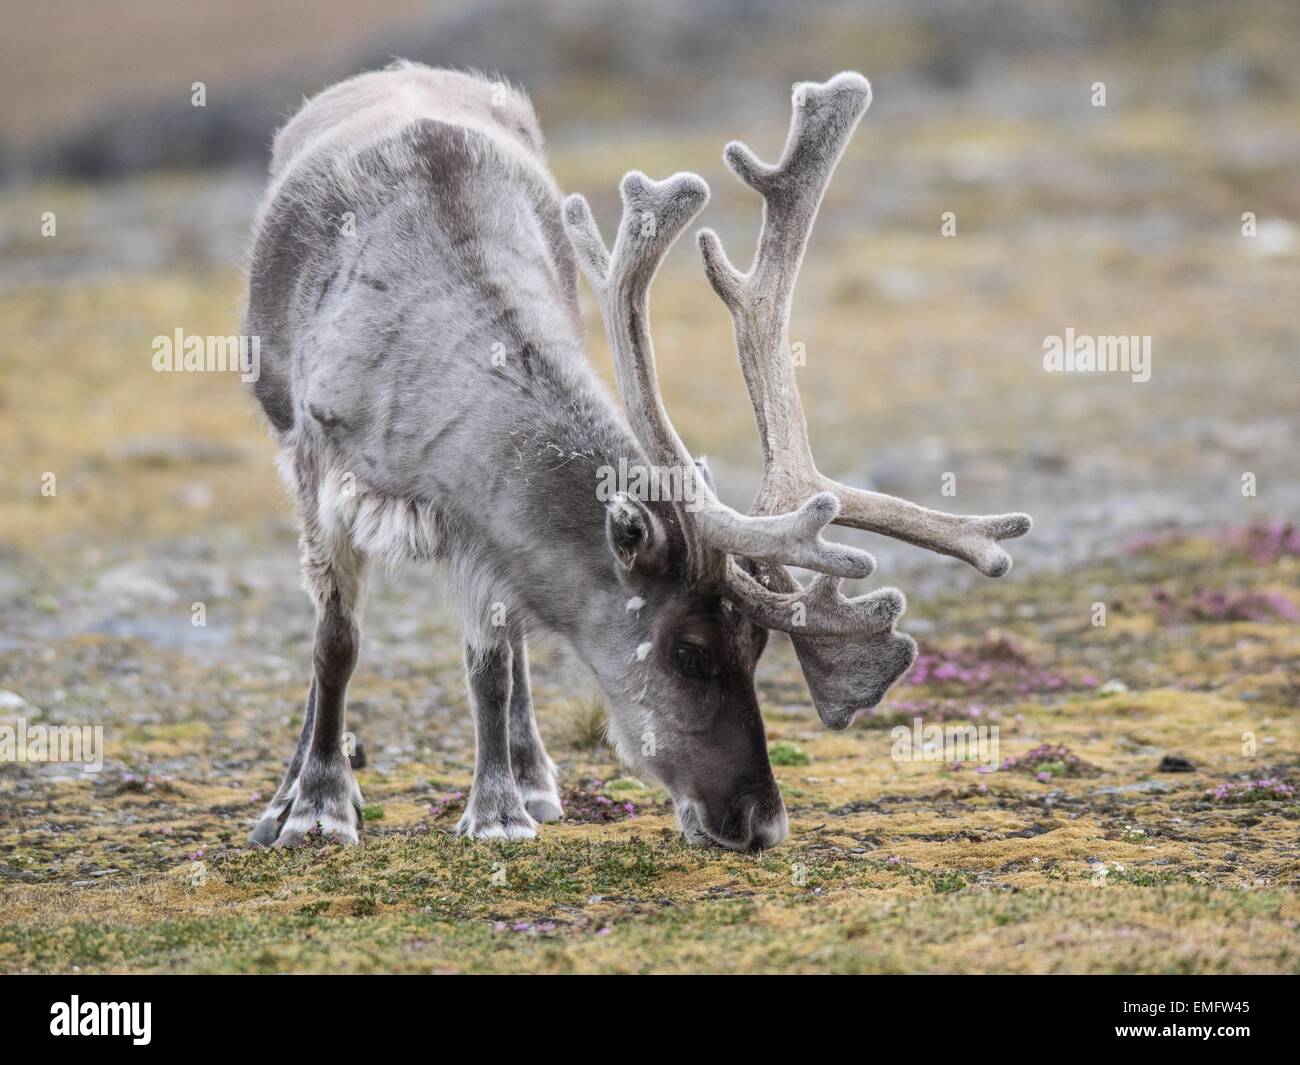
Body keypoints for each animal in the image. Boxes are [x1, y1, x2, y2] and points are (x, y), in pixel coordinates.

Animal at [243, 62, 1031, 852]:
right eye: (688, 651)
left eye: (758, 646)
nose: (762, 822)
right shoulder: (318, 466)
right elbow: (335, 643)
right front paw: (318, 805)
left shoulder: (480, 528)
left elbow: (490, 663)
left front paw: (499, 806)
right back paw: (286, 794)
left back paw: (533, 776)